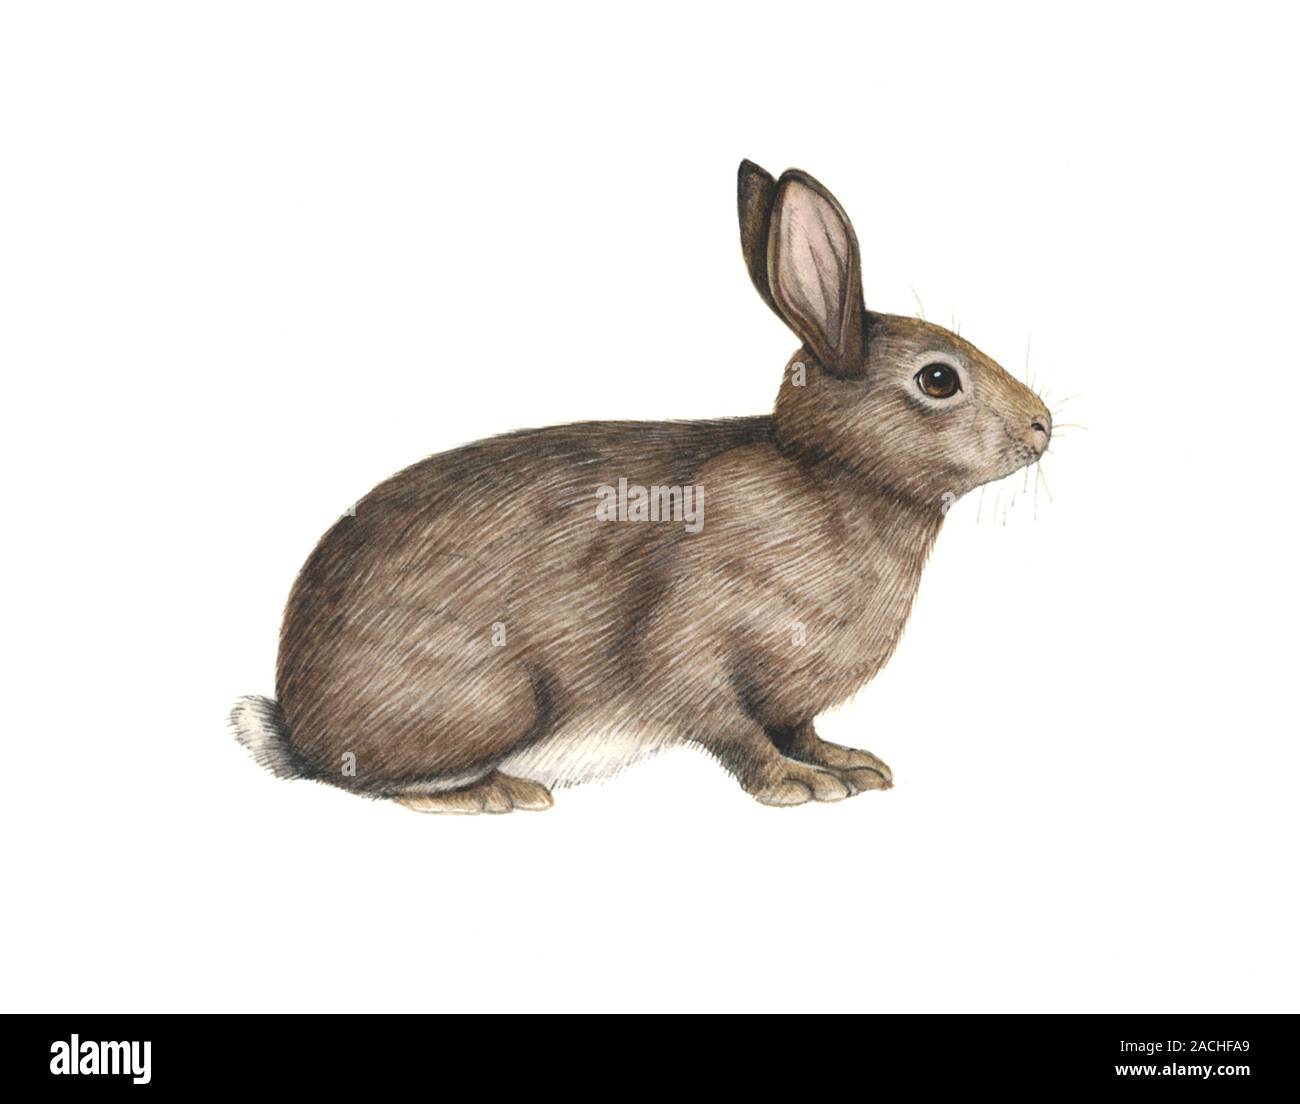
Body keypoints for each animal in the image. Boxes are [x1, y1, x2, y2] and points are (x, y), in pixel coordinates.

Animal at [231, 160, 1052, 813]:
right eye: (939, 380)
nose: (1044, 426)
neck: (833, 476)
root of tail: (297, 728)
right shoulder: (692, 647)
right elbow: (732, 728)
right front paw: (798, 786)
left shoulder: (790, 702)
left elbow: (799, 728)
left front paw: (852, 766)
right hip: (490, 700)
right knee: (384, 784)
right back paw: (499, 794)